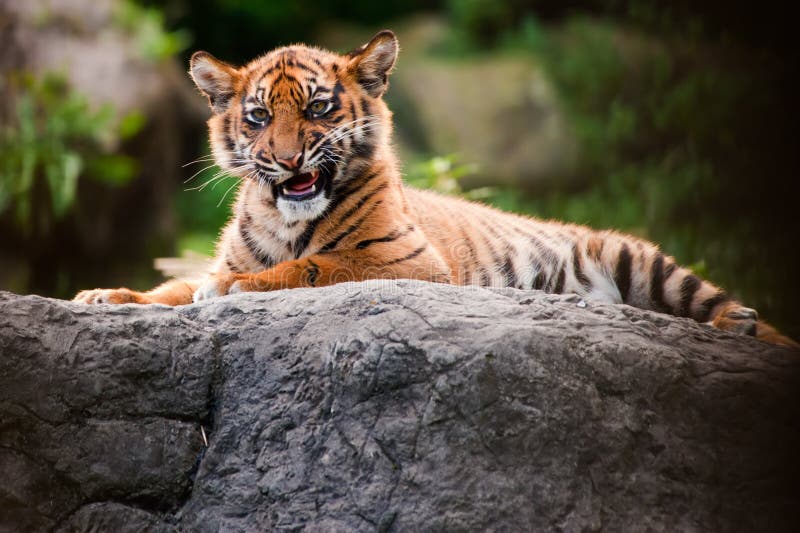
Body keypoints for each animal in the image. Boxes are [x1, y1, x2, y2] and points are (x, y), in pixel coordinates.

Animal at [74, 30, 797, 348]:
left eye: (317, 109)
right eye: (256, 118)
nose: (283, 159)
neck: (284, 215)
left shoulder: (405, 261)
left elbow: (317, 265)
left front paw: (235, 289)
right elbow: (172, 288)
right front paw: (105, 295)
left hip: (638, 258)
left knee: (733, 310)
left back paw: (741, 323)